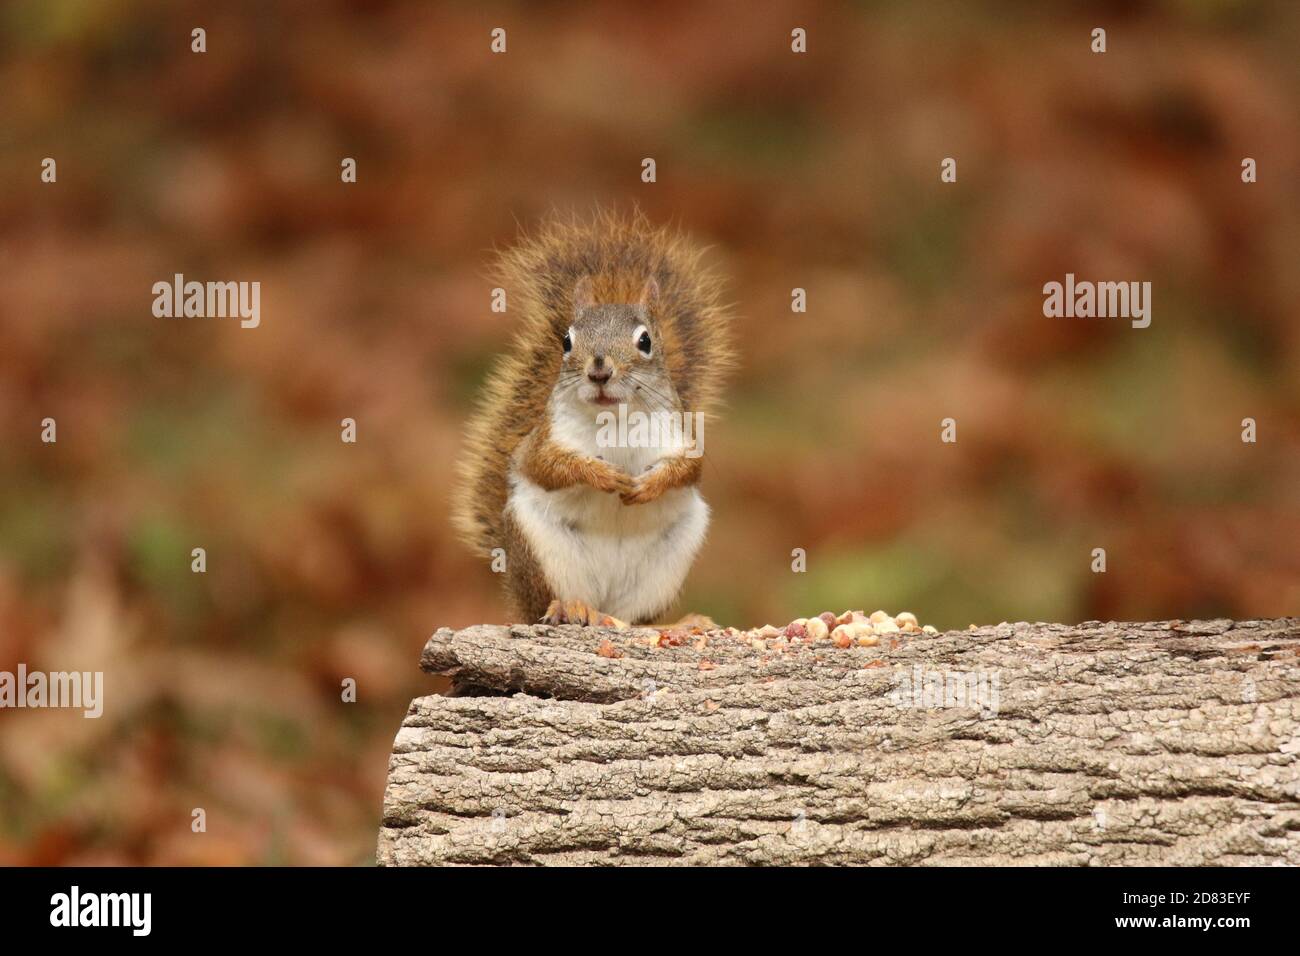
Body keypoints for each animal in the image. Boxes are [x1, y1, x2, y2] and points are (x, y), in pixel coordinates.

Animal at [452, 210, 735, 627]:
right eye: (566, 341)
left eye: (646, 341)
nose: (599, 369)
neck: (613, 420)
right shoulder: (545, 438)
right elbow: (546, 466)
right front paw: (600, 474)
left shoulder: (680, 435)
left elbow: (686, 470)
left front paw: (648, 485)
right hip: (544, 550)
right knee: (554, 600)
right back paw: (570, 607)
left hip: (670, 557)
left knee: (636, 619)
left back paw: (679, 623)